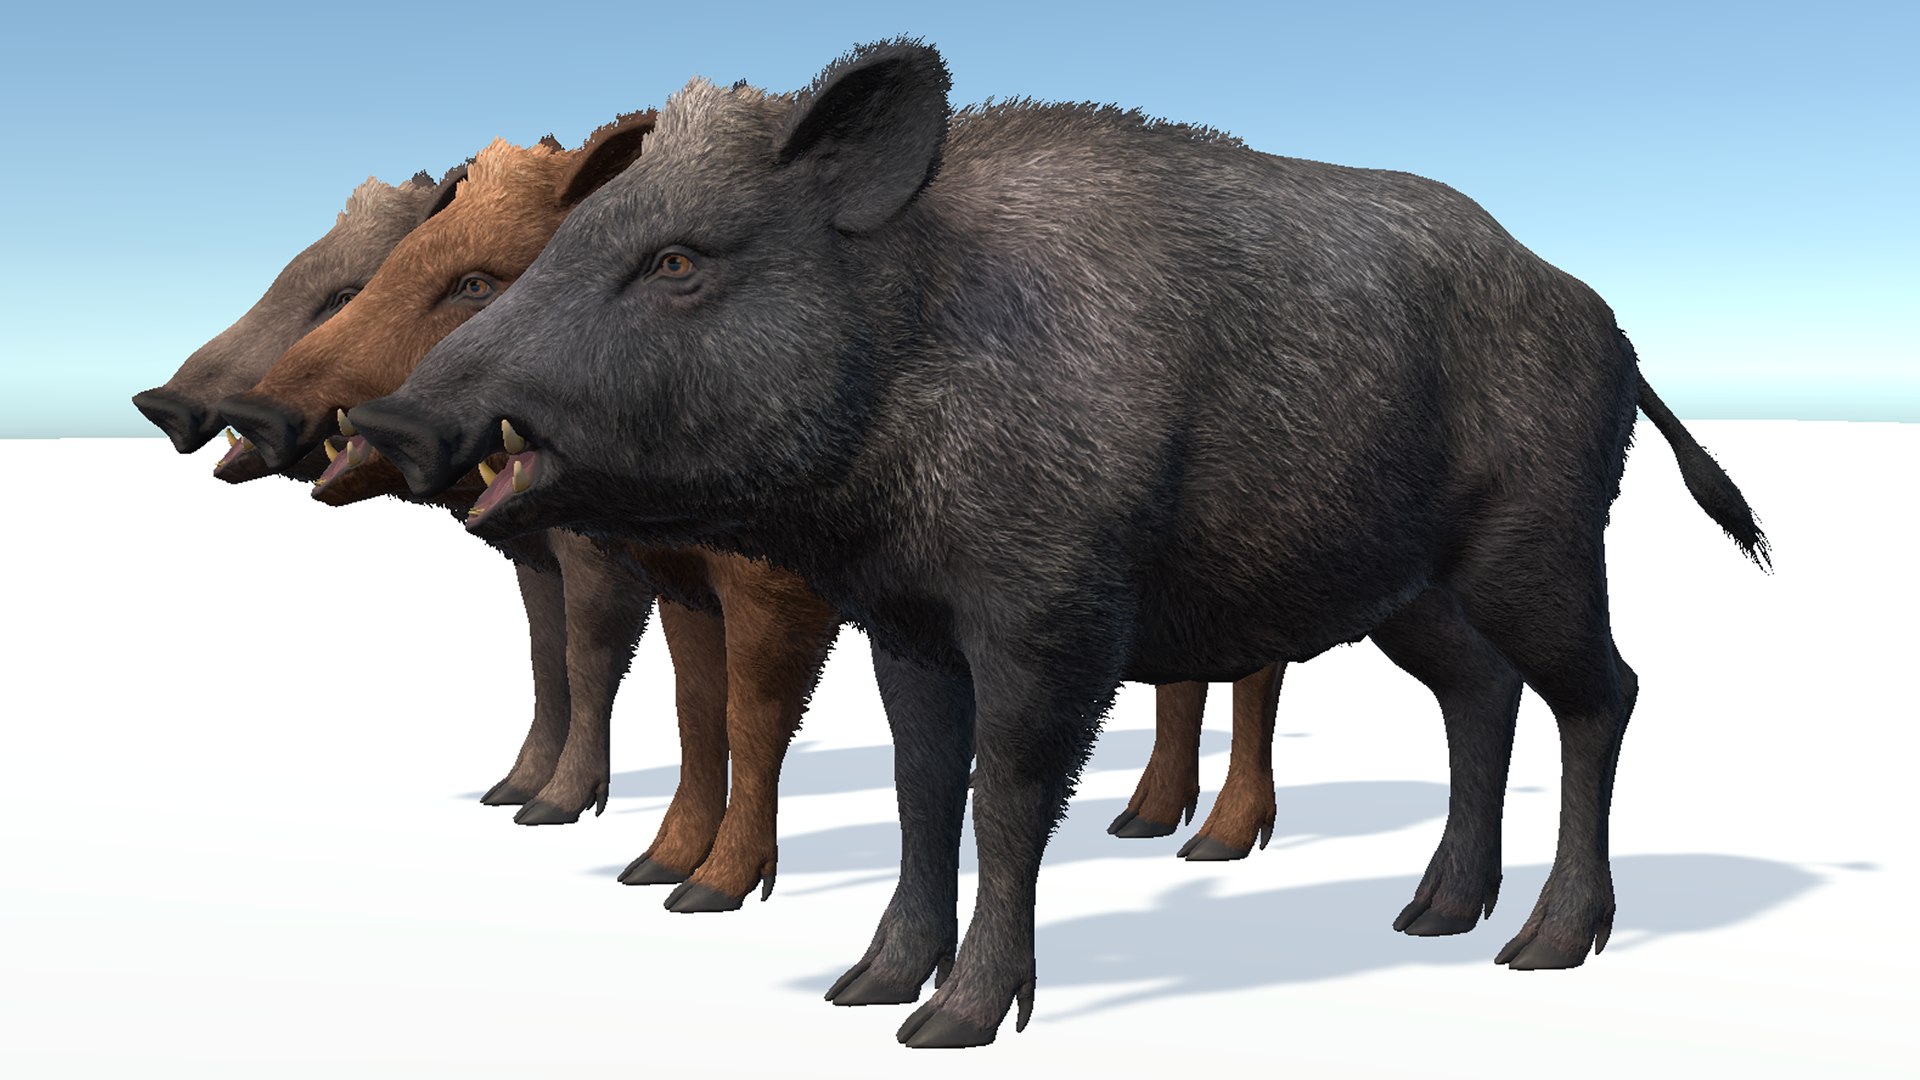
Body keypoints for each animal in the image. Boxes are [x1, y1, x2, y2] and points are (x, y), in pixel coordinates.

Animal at [344, 40, 1771, 1047]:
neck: (910, 352)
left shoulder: (1053, 614)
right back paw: (1430, 918)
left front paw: (952, 1026)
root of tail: (1614, 334)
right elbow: (924, 789)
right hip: (1406, 594)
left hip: (1538, 544)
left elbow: (1010, 797)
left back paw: (1544, 946)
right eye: (569, 247)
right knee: (1481, 694)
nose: (395, 416)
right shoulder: (907, 623)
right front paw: (863, 992)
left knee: (1603, 691)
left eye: (679, 261)